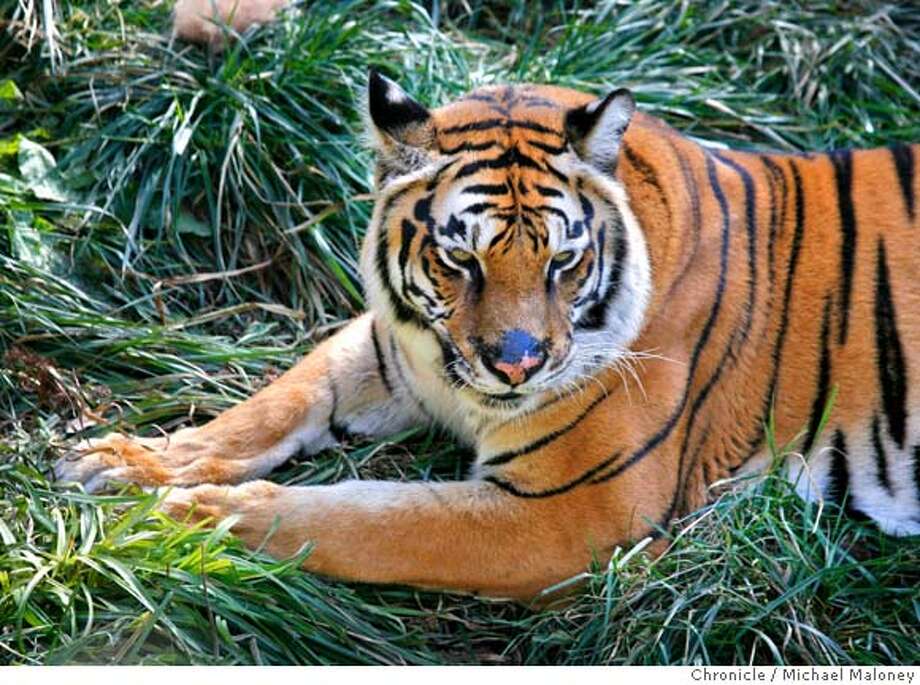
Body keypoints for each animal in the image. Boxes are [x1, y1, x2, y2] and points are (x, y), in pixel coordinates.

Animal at [55, 5, 920, 602]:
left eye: (563, 261)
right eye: (460, 260)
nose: (516, 365)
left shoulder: (573, 511)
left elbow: (369, 519)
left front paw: (193, 514)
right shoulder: (387, 349)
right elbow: (271, 404)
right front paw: (125, 462)